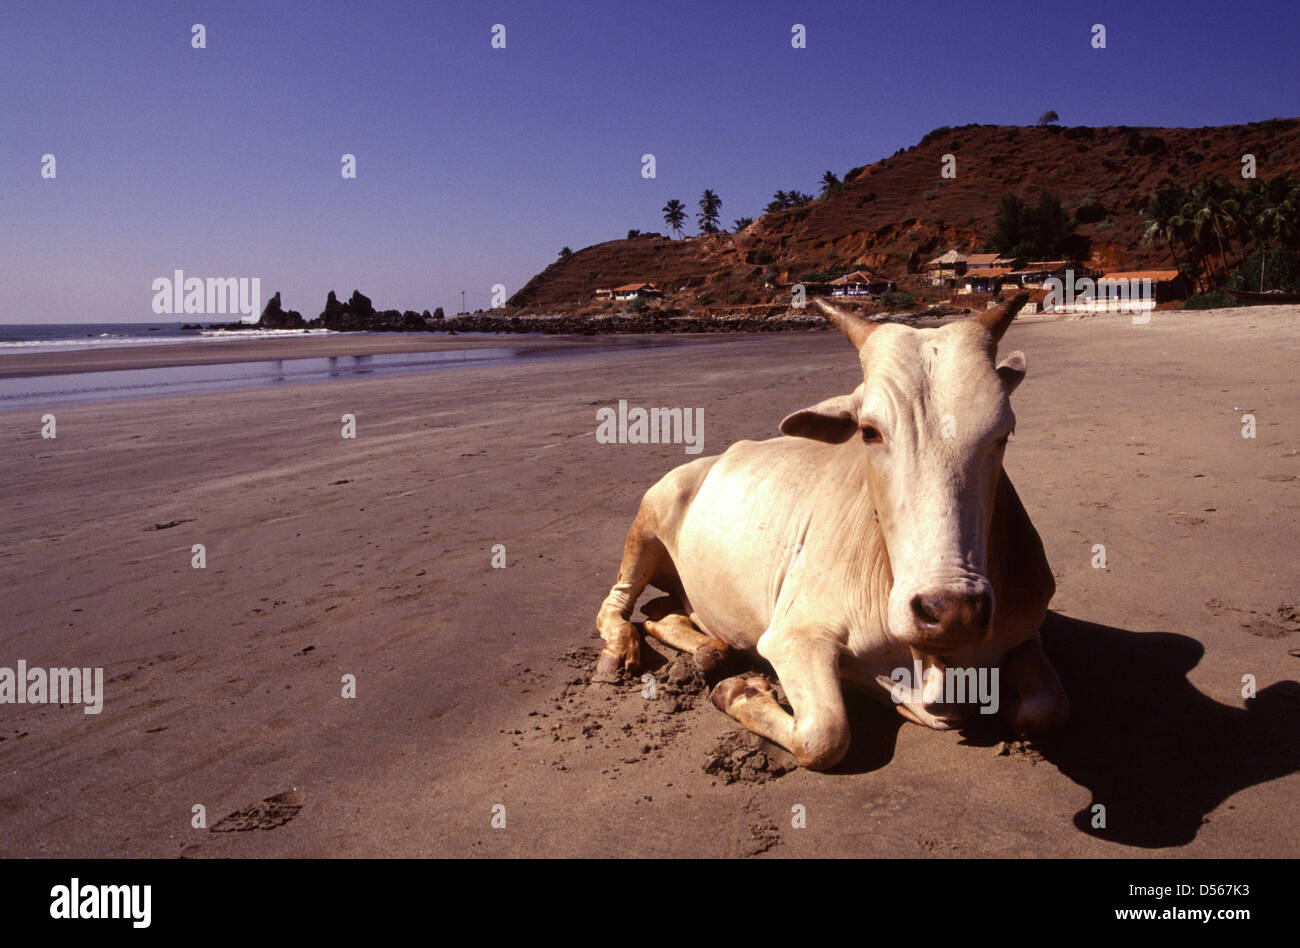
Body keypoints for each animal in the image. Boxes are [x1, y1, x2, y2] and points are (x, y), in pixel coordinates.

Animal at [593, 293, 1068, 770]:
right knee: (616, 604)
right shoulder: (794, 636)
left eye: (1004, 432)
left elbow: (1044, 709)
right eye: (869, 432)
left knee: (662, 613)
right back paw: (621, 654)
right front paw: (739, 691)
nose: (952, 611)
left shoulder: (1026, 631)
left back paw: (707, 649)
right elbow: (824, 735)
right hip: (649, 519)